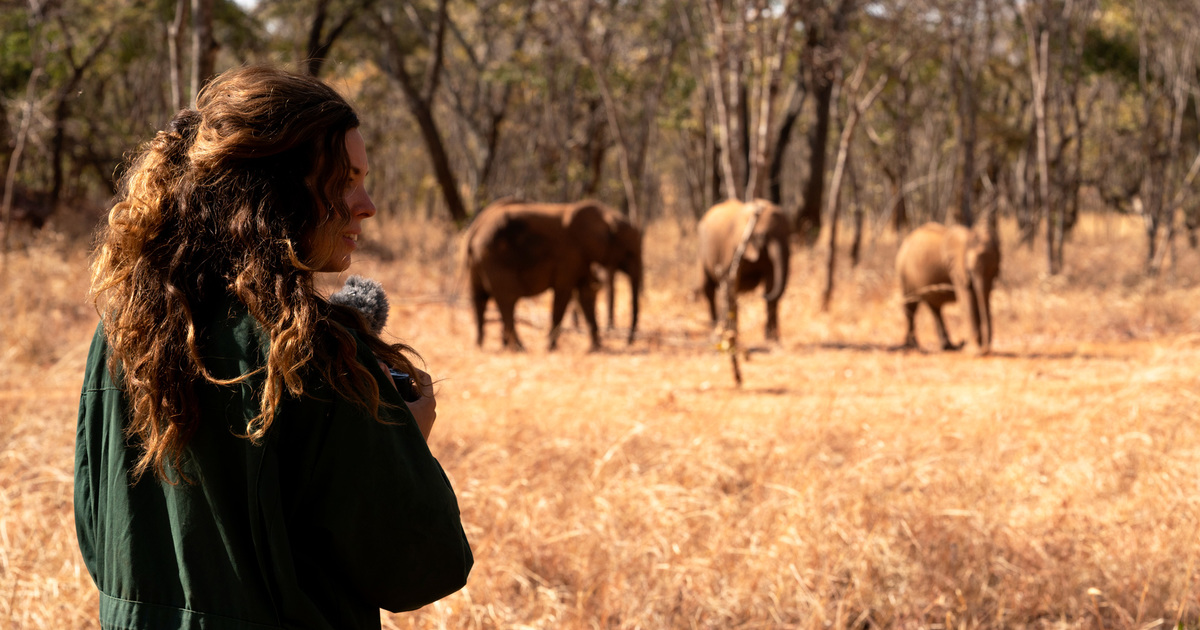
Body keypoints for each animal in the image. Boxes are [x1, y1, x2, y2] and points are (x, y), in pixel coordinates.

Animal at [465, 199, 643, 351]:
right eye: (628, 253)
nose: (628, 343)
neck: (607, 215)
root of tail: (474, 230)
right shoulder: (569, 254)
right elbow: (563, 295)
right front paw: (551, 348)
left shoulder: (581, 256)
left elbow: (585, 294)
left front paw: (596, 348)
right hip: (495, 259)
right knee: (507, 300)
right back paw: (518, 348)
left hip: (479, 261)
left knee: (479, 297)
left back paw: (480, 346)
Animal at [697, 198, 791, 341]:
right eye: (762, 236)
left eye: (789, 234)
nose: (762, 295)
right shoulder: (733, 247)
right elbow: (730, 283)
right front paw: (731, 335)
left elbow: (771, 281)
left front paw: (772, 339)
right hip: (703, 250)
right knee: (708, 290)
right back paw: (715, 330)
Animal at [895, 213, 1000, 354]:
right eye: (971, 269)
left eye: (996, 271)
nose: (985, 349)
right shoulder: (957, 268)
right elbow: (968, 301)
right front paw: (973, 351)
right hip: (905, 272)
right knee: (911, 306)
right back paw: (913, 346)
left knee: (935, 308)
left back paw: (947, 347)